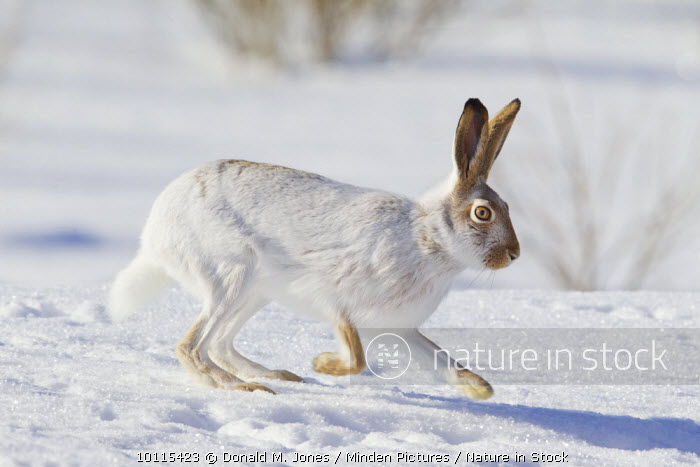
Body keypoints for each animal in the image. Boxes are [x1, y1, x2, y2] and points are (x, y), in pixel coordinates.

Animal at [108, 98, 521, 399]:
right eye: (482, 213)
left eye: (507, 206)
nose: (514, 254)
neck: (428, 239)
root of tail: (156, 234)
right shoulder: (336, 301)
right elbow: (356, 358)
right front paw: (322, 364)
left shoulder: (400, 327)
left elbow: (441, 360)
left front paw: (481, 389)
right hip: (231, 277)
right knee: (191, 347)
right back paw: (244, 387)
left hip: (255, 292)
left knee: (220, 345)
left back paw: (278, 376)